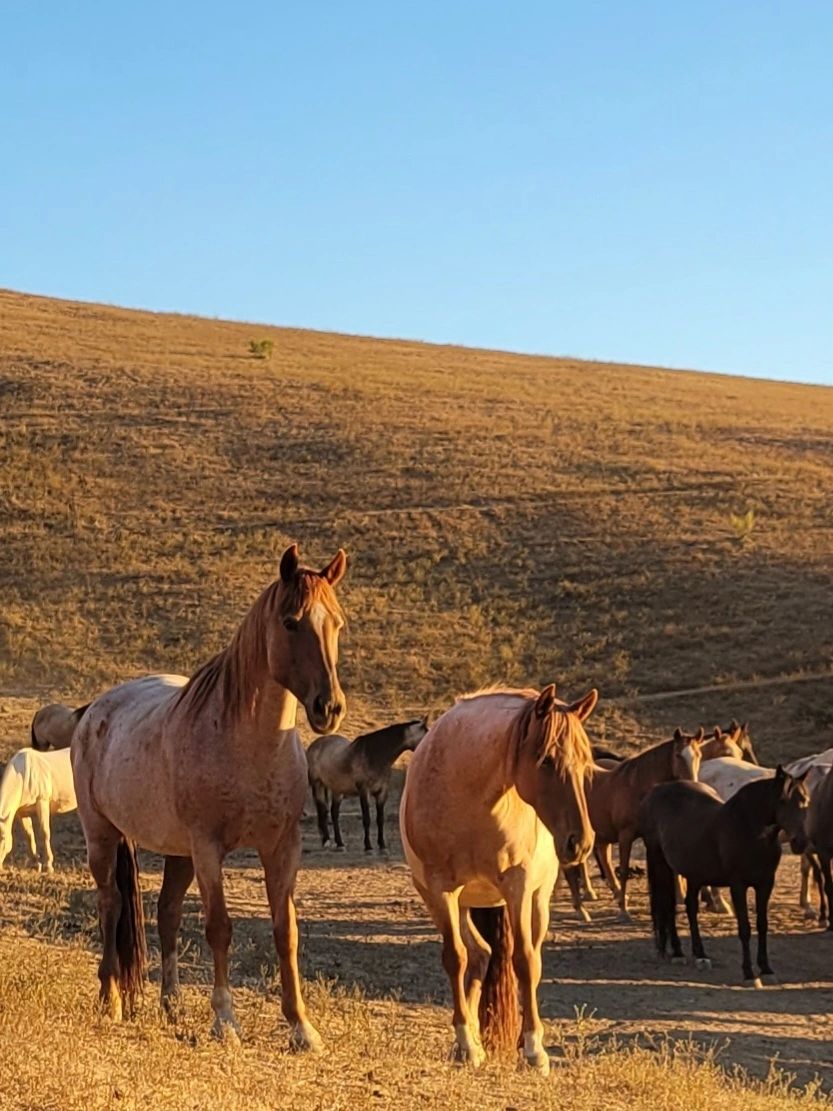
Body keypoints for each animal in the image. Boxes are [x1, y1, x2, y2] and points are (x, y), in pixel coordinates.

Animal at [71, 544, 347, 1049]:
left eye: (336, 623)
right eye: (291, 622)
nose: (329, 707)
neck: (248, 744)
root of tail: (94, 710)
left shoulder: (282, 849)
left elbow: (286, 932)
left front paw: (301, 1027)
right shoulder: (208, 849)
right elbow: (219, 928)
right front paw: (225, 1021)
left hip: (178, 854)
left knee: (167, 913)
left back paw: (172, 1005)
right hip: (104, 838)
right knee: (110, 907)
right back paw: (111, 1001)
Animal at [307, 717, 428, 852]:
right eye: (426, 733)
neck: (374, 756)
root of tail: (314, 745)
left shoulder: (382, 792)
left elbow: (380, 819)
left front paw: (382, 845)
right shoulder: (364, 791)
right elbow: (367, 819)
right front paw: (368, 846)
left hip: (337, 790)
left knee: (334, 814)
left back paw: (340, 844)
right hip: (318, 785)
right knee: (322, 811)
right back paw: (326, 841)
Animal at [400, 684, 596, 1073]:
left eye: (585, 763)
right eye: (546, 760)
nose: (580, 843)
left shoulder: (517, 886)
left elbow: (524, 961)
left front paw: (535, 1050)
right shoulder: (441, 889)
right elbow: (456, 958)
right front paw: (466, 1044)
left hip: (538, 901)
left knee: (528, 957)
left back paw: (523, 1040)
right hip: (454, 903)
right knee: (478, 955)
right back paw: (471, 1039)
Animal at [563, 728, 702, 920]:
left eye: (698, 755)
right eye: (677, 755)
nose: (692, 783)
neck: (637, 786)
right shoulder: (625, 835)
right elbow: (623, 870)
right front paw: (623, 909)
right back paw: (581, 908)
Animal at [641, 768, 809, 986]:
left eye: (805, 801)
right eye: (782, 801)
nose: (800, 842)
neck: (749, 830)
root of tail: (656, 791)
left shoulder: (765, 884)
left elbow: (762, 925)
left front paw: (766, 970)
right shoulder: (738, 885)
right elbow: (745, 928)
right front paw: (749, 974)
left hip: (694, 873)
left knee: (690, 907)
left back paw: (701, 955)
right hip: (662, 864)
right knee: (669, 905)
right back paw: (678, 953)